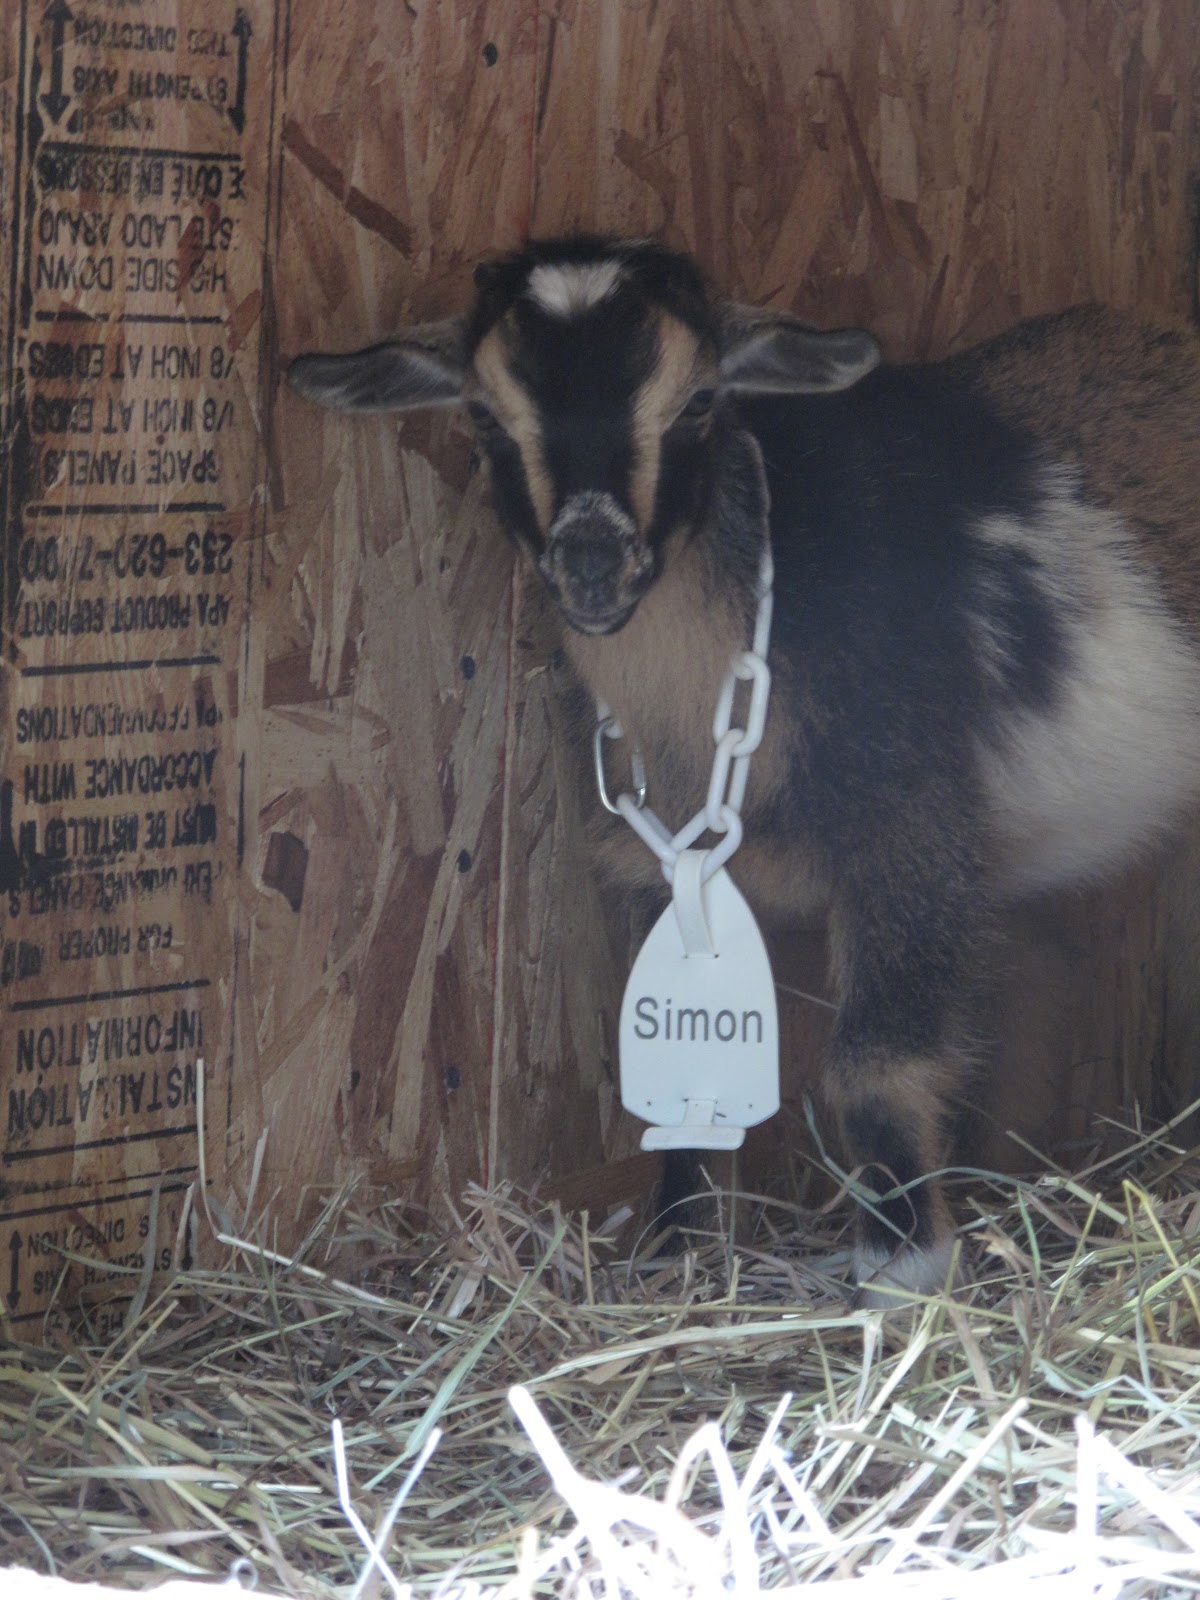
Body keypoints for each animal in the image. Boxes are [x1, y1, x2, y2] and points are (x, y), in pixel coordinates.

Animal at [288, 235, 1200, 1298]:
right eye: (481, 413)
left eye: (699, 402)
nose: (591, 562)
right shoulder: (668, 874)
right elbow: (676, 1079)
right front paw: (678, 1248)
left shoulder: (913, 833)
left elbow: (874, 1068)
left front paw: (902, 1267)